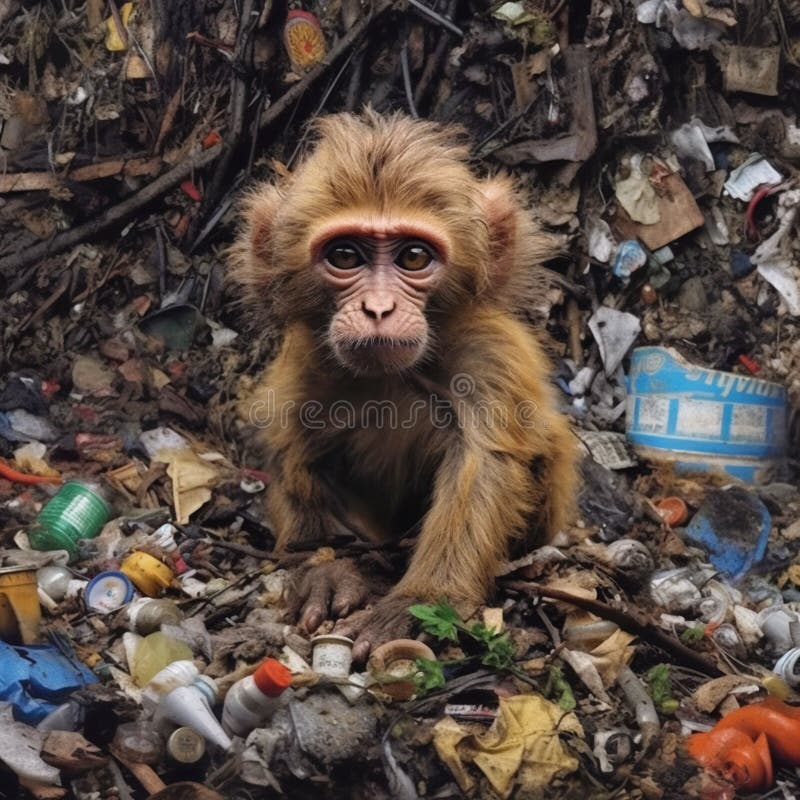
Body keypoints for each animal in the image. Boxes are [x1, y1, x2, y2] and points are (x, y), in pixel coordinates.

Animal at [230, 110, 577, 661]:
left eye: (413, 258)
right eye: (345, 257)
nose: (378, 309)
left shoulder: (487, 353)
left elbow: (484, 461)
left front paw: (423, 600)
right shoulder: (307, 358)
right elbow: (295, 455)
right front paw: (327, 566)